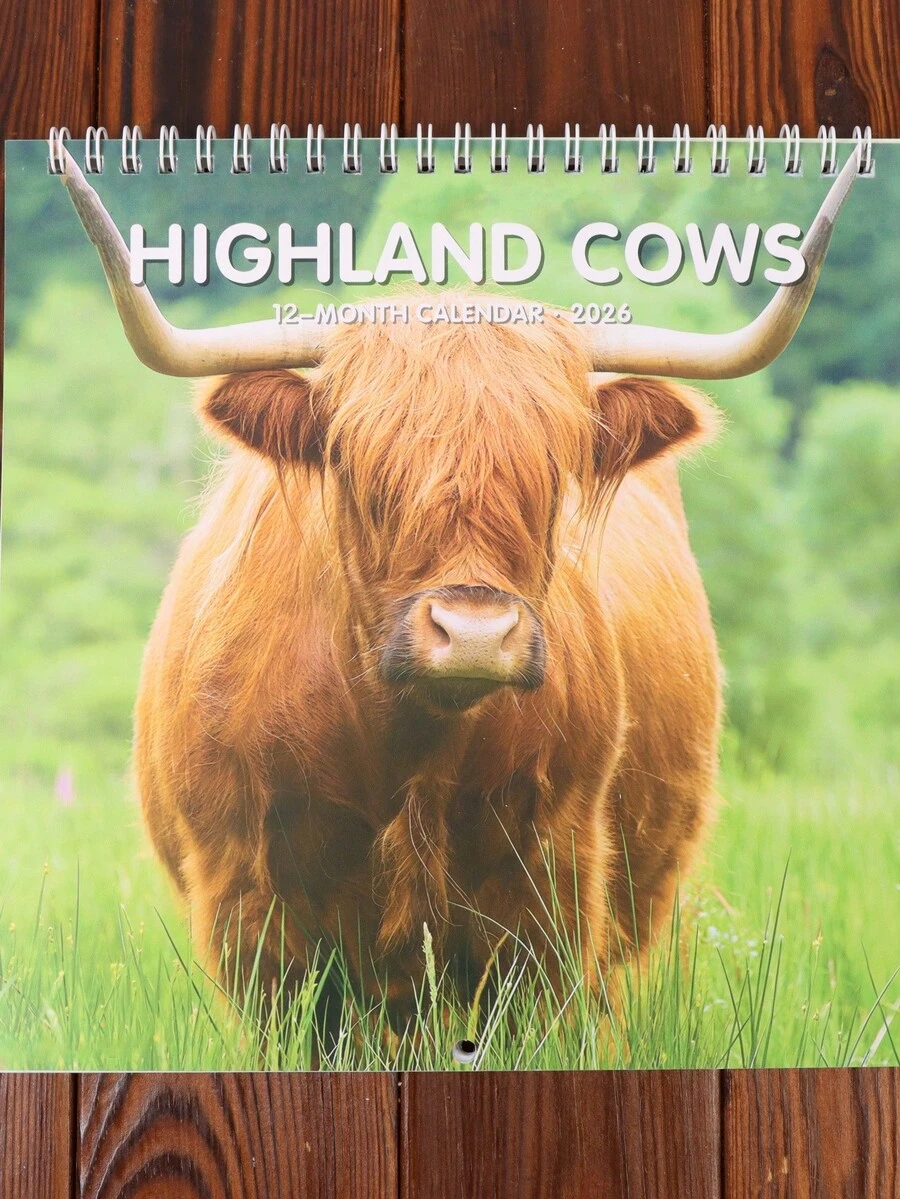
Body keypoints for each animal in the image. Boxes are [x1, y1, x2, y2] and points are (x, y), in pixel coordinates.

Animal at [61, 148, 857, 1020]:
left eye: (553, 469)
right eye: (359, 462)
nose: (474, 634)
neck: (408, 743)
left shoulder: (553, 896)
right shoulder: (250, 907)